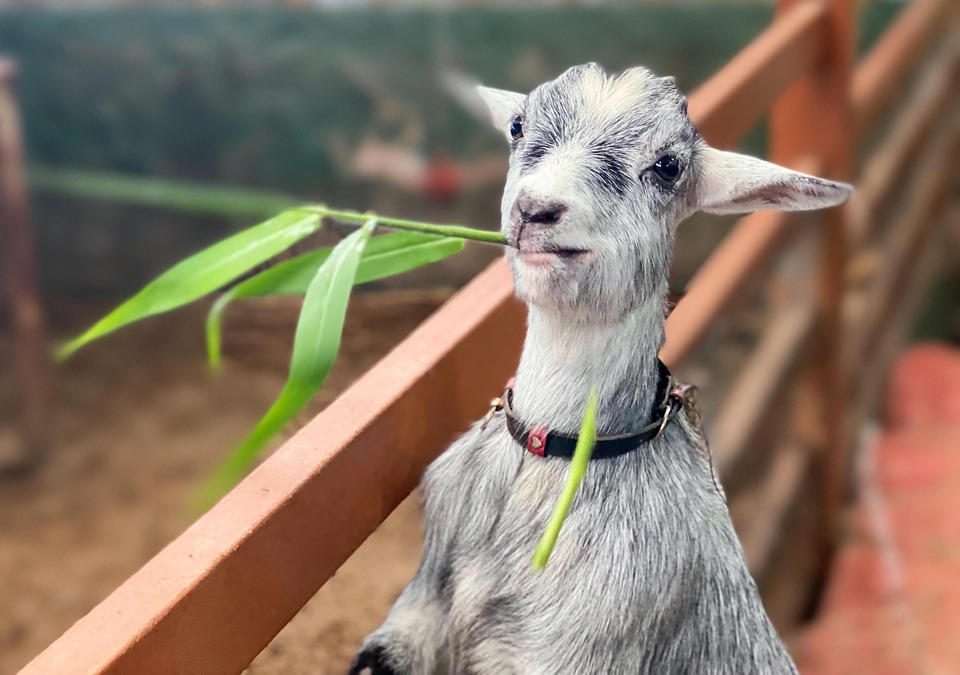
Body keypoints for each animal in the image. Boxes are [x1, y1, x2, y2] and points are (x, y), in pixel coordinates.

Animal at [349, 64, 852, 675]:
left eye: (668, 166)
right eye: (517, 126)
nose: (535, 210)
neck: (552, 454)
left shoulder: (575, 652)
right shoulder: (417, 614)